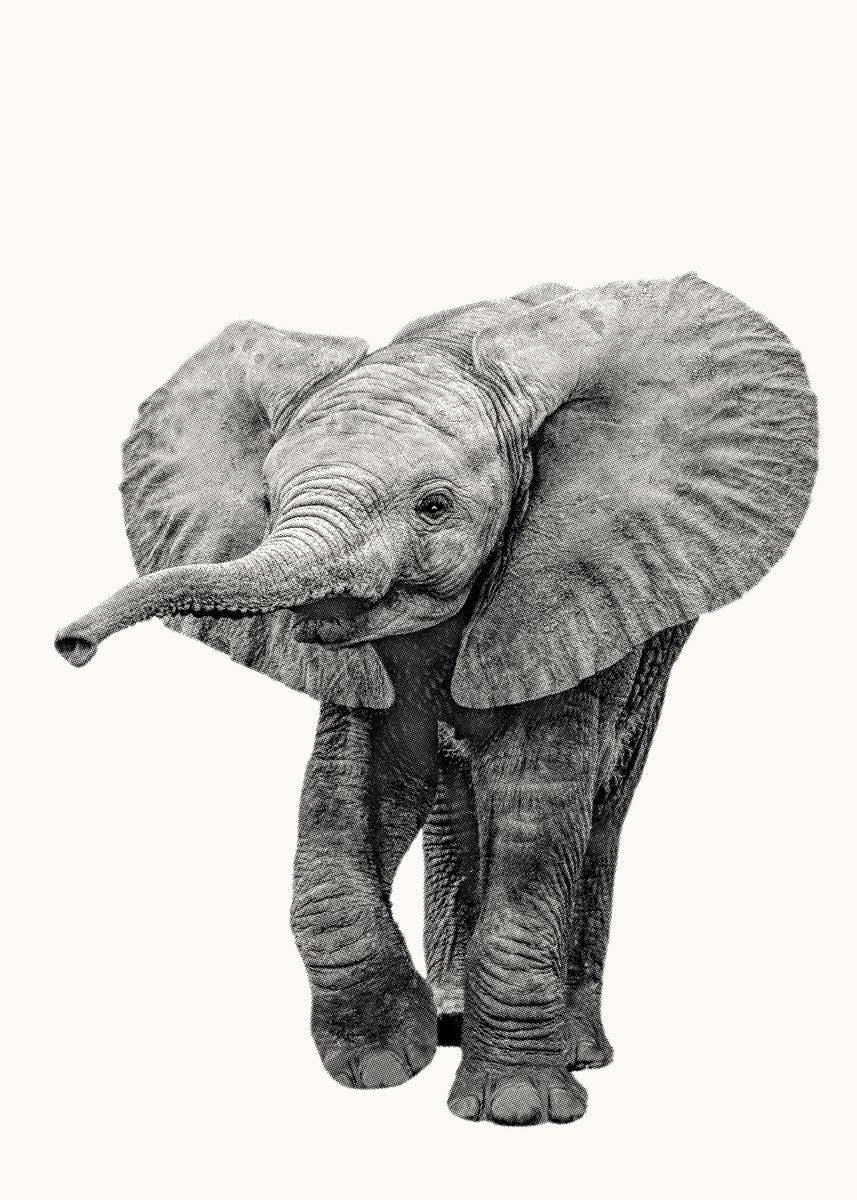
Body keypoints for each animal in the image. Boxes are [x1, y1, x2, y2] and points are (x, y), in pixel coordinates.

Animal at [55, 274, 817, 1125]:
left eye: (434, 506)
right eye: (267, 499)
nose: (72, 646)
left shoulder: (573, 581)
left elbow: (537, 797)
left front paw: (516, 1108)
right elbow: (353, 789)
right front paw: (381, 1063)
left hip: (655, 633)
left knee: (600, 805)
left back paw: (578, 1050)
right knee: (456, 799)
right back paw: (454, 1019)